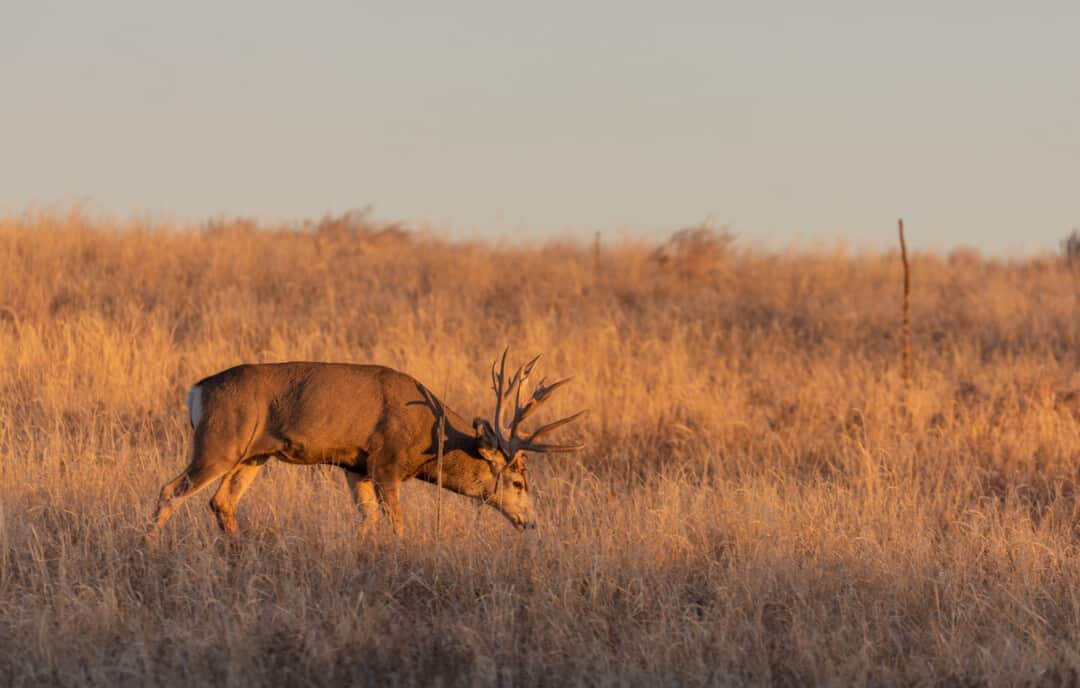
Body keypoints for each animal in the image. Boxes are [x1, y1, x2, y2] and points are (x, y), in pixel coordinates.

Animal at [150, 350, 585, 539]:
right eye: (518, 483)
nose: (531, 522)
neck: (430, 435)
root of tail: (196, 390)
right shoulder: (387, 463)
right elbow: (397, 524)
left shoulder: (355, 466)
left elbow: (368, 519)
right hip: (218, 443)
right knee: (170, 490)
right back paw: (149, 548)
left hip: (253, 456)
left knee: (221, 502)